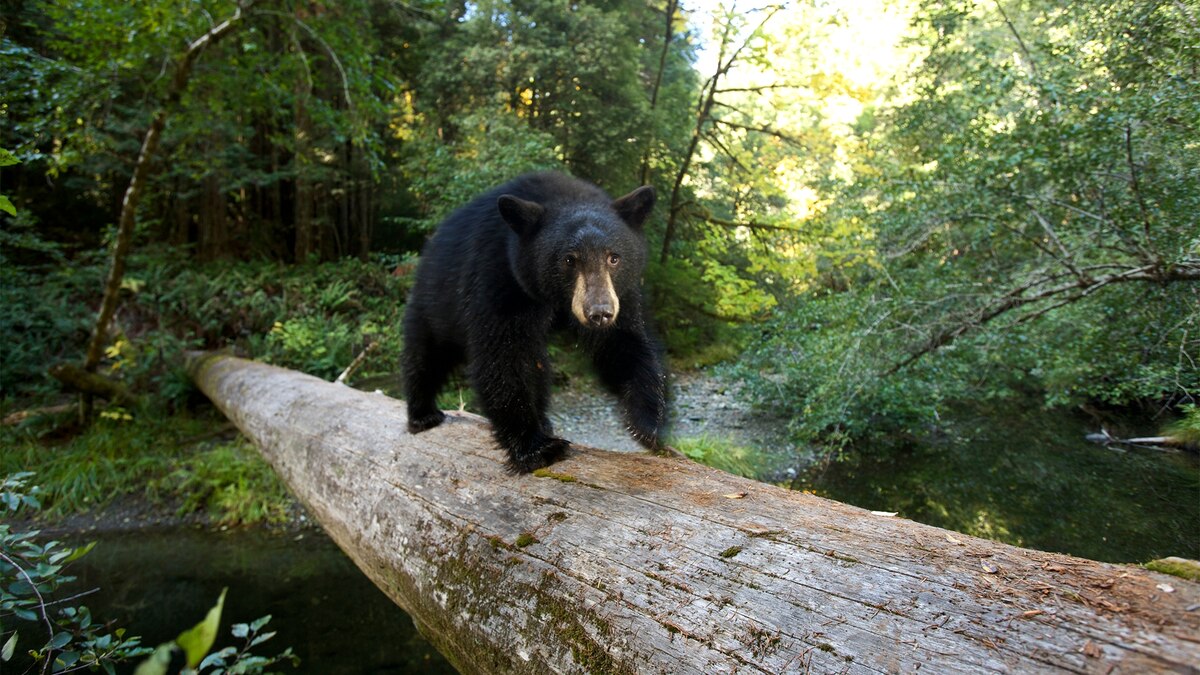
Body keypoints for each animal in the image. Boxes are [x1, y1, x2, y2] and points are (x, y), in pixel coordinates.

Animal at [402, 171, 669, 473]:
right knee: (424, 352)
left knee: (538, 364)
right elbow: (503, 357)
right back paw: (422, 414)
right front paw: (536, 448)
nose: (599, 313)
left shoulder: (621, 294)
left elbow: (624, 343)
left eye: (614, 257)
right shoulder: (499, 276)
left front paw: (647, 424)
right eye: (569, 260)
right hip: (435, 299)